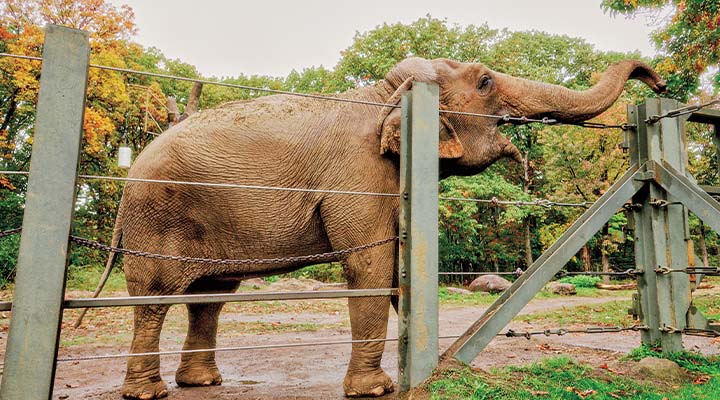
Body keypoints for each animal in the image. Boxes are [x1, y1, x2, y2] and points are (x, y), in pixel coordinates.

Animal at [90, 57, 665, 399]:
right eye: (484, 82)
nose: (658, 80)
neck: (388, 94)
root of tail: (132, 170)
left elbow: (395, 266)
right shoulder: (358, 173)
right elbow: (370, 262)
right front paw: (377, 389)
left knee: (210, 295)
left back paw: (201, 382)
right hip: (158, 216)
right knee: (157, 296)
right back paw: (149, 392)